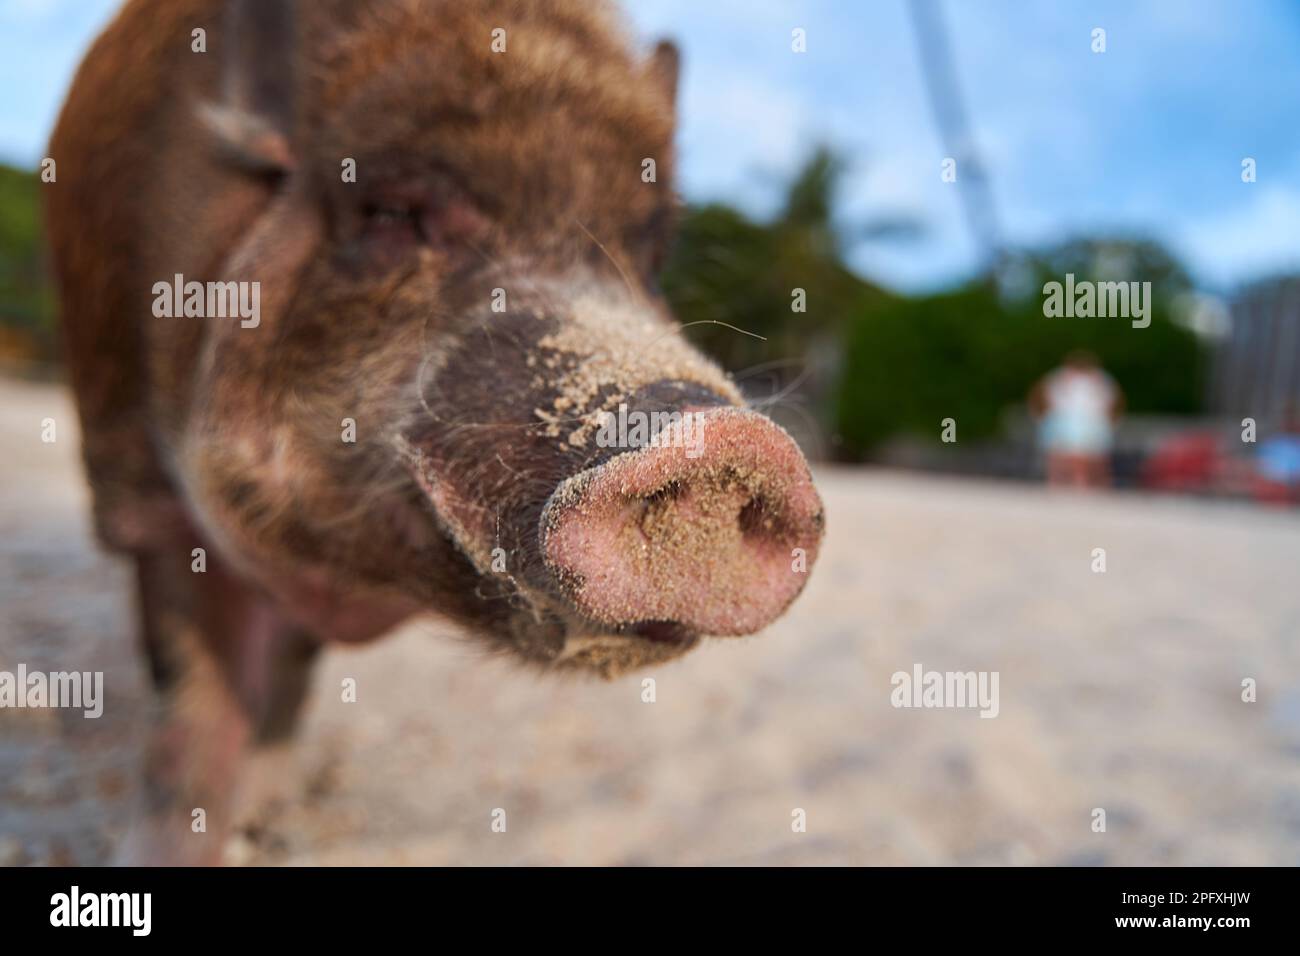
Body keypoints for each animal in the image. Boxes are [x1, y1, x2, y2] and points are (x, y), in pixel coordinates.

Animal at [45, 0, 824, 864]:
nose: (726, 439)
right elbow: (190, 724)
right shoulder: (146, 499)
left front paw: (269, 821)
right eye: (392, 212)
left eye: (648, 259)